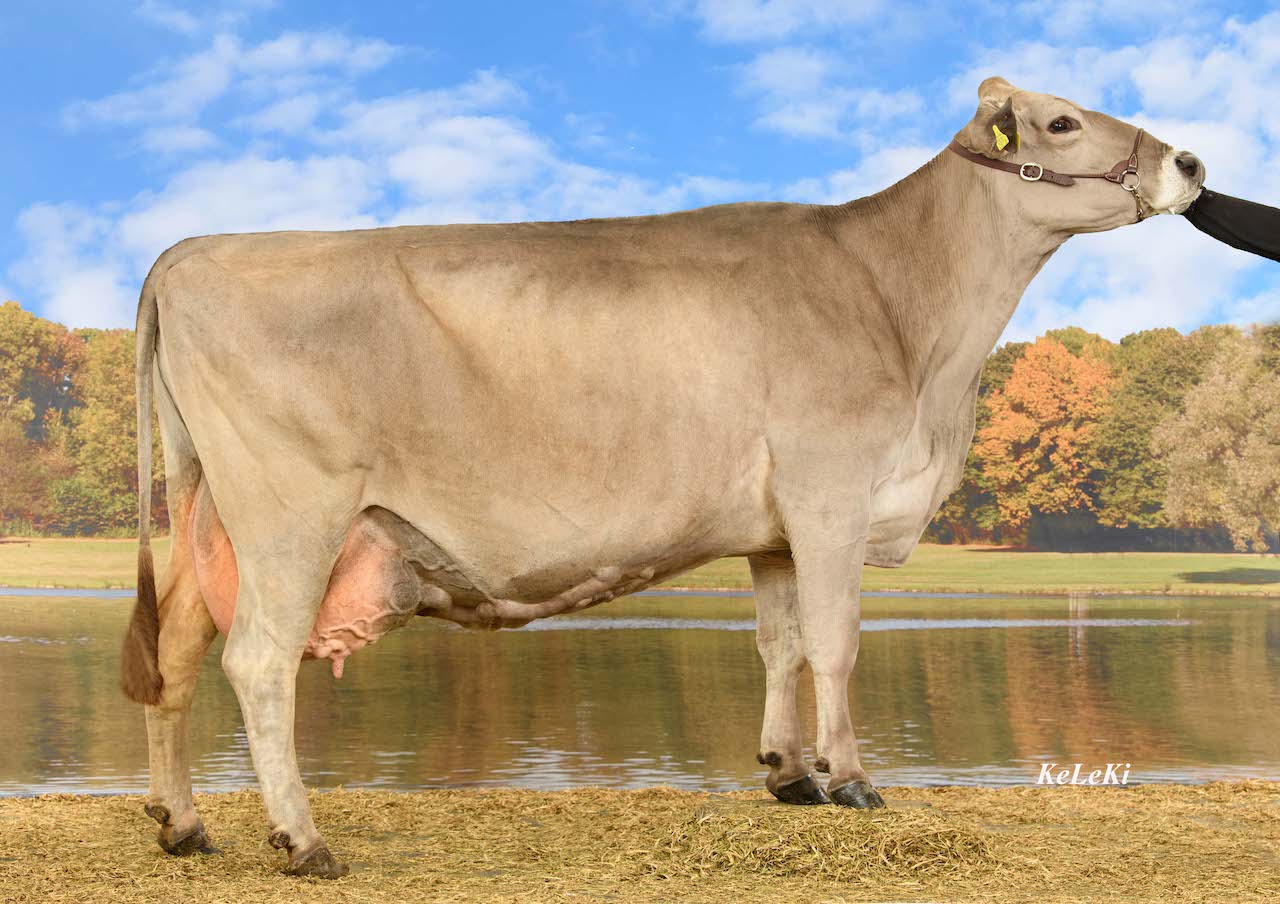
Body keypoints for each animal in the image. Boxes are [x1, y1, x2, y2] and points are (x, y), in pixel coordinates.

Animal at [120, 77, 1205, 877]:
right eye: (1062, 122)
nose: (1188, 161)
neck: (917, 332)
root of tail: (188, 251)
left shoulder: (775, 528)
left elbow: (780, 646)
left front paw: (788, 774)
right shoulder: (831, 493)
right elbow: (836, 642)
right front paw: (853, 779)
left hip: (208, 510)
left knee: (175, 651)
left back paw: (184, 825)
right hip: (290, 511)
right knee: (258, 662)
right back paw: (302, 840)